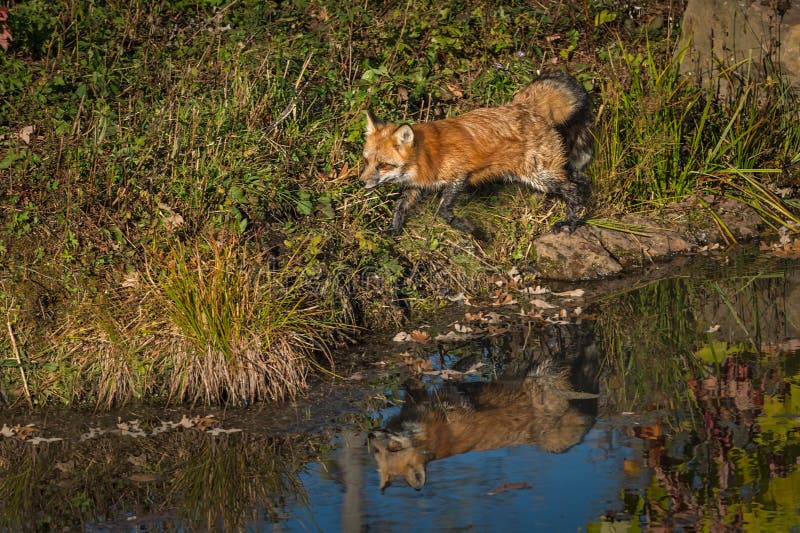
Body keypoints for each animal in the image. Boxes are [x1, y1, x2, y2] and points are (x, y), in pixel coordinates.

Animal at [359, 69, 593, 237]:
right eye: (367, 161)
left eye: (383, 165)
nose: (360, 182)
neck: (427, 157)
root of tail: (523, 105)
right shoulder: (416, 186)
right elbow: (400, 208)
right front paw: (394, 230)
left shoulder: (459, 175)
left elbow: (443, 209)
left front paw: (469, 229)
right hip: (545, 172)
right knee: (579, 179)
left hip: (540, 176)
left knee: (571, 188)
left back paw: (571, 221)